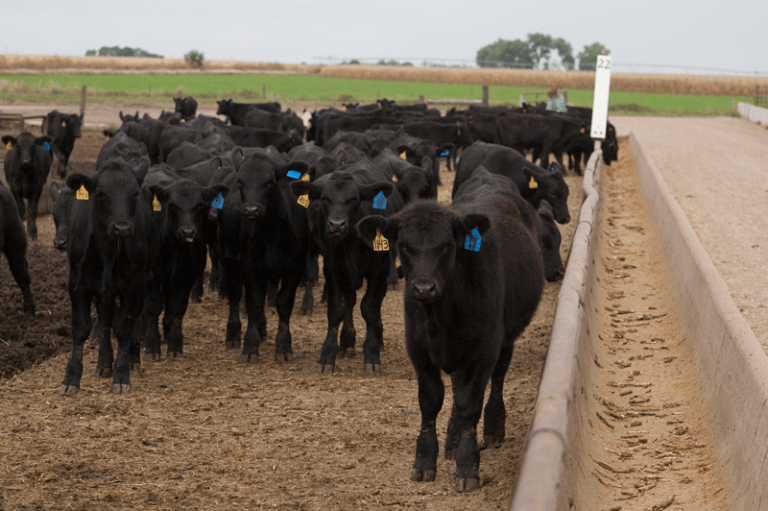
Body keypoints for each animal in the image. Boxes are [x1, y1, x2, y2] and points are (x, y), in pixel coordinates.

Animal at [59, 161, 159, 395]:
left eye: (134, 194)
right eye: (101, 194)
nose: (122, 227)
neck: (106, 250)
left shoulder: (133, 286)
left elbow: (123, 326)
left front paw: (121, 375)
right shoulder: (78, 284)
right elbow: (81, 328)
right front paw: (71, 377)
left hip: (142, 281)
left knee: (133, 319)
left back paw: (132, 359)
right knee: (105, 319)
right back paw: (104, 363)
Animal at [290, 162, 404, 373]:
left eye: (354, 199)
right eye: (325, 199)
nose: (336, 224)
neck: (352, 242)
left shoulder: (380, 269)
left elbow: (370, 307)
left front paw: (372, 354)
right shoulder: (333, 268)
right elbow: (338, 309)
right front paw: (328, 355)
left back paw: (378, 337)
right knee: (350, 301)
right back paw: (347, 342)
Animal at [356, 185, 543, 492]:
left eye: (446, 246)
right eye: (403, 246)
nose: (423, 288)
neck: (441, 316)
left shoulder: (484, 347)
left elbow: (469, 403)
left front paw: (468, 467)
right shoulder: (418, 348)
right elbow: (432, 401)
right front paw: (424, 462)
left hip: (505, 337)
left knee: (497, 378)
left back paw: (493, 428)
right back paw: (452, 441)